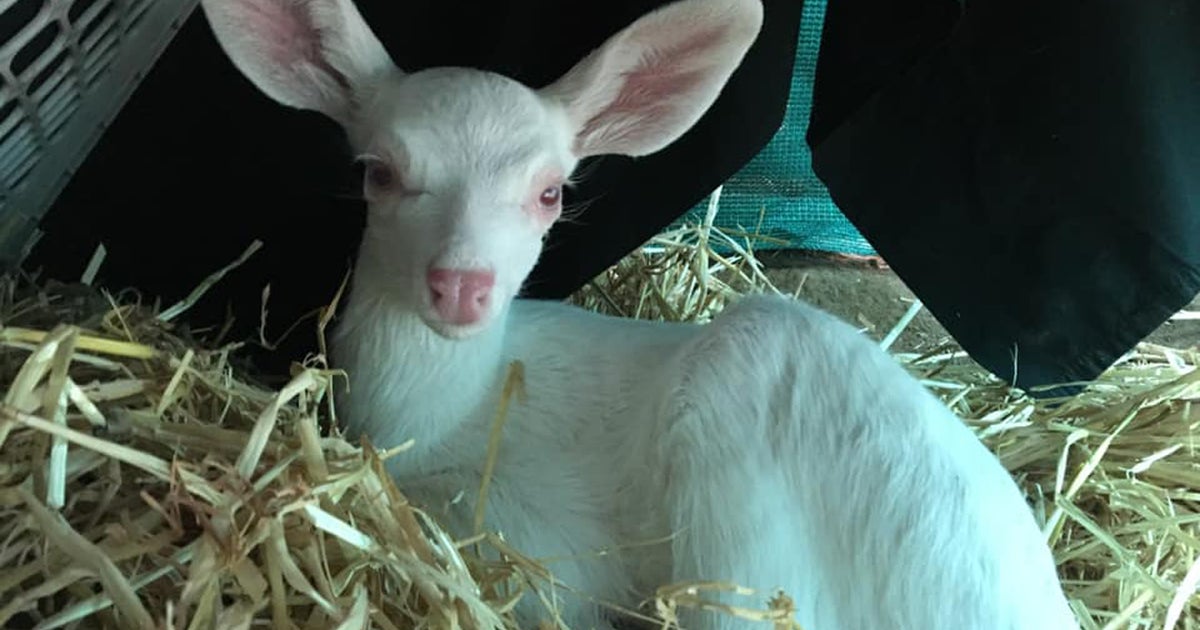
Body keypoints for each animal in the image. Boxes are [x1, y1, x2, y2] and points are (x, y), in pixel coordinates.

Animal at [197, 0, 1080, 628]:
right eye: (377, 172)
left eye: (552, 192)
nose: (461, 284)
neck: (442, 415)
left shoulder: (545, 549)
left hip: (749, 522)